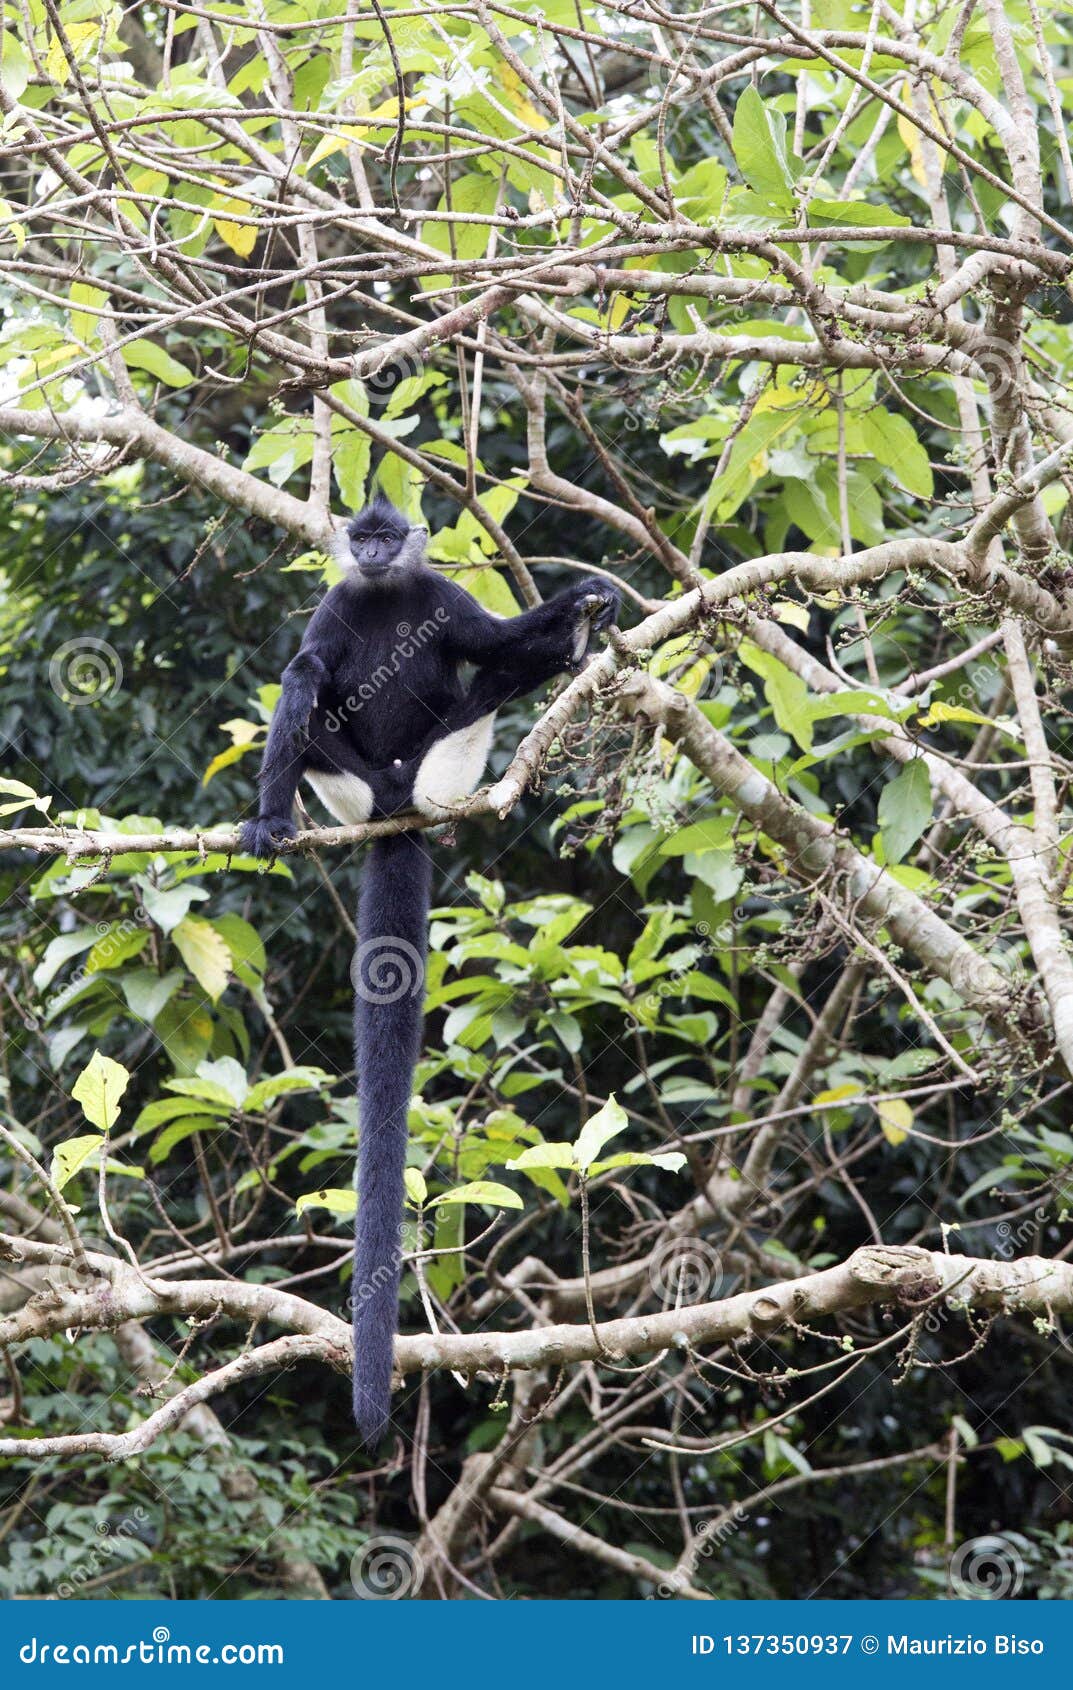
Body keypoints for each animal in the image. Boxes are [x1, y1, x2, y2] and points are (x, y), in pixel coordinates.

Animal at [239, 494, 619, 1443]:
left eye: (387, 538)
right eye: (363, 540)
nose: (373, 552)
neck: (383, 596)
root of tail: (394, 802)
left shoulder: (439, 595)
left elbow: (491, 642)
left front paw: (583, 607)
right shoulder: (339, 605)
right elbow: (307, 664)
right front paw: (265, 815)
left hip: (440, 761)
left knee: (492, 680)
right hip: (347, 777)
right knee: (303, 683)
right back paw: (281, 816)